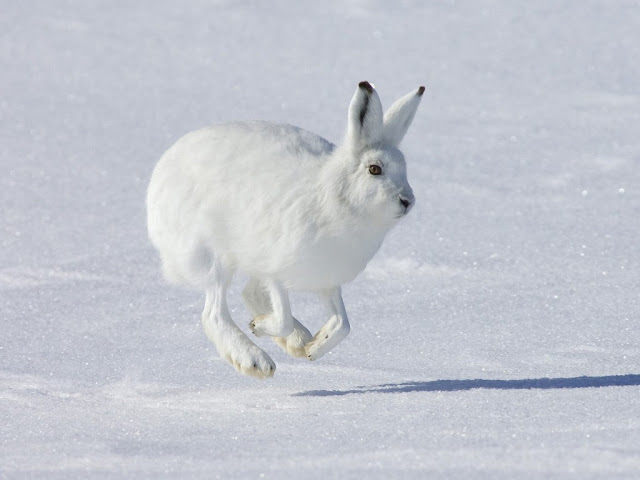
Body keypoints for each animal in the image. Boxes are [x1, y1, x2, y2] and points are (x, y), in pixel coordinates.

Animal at [146, 81, 424, 379]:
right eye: (374, 169)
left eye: (404, 169)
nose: (407, 201)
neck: (337, 200)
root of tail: (160, 175)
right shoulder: (275, 269)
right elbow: (283, 319)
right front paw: (259, 327)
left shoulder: (327, 280)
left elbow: (343, 324)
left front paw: (314, 347)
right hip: (214, 255)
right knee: (214, 313)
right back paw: (255, 360)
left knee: (249, 294)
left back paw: (299, 341)